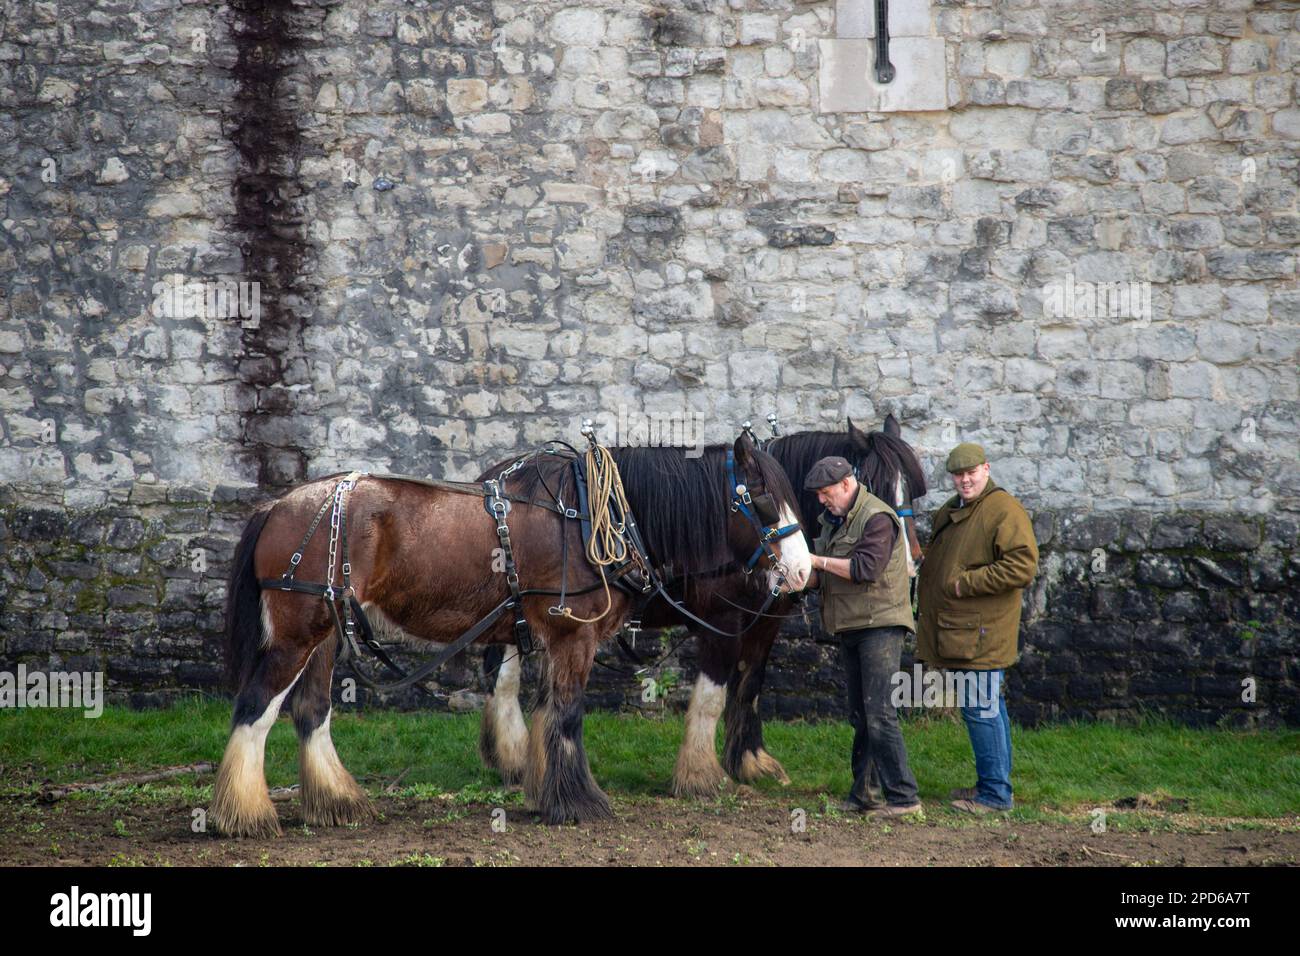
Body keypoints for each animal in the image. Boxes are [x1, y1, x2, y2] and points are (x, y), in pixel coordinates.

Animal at [211, 431, 811, 836]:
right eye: (760, 499)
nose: (803, 571)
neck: (588, 520)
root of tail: (277, 504)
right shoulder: (576, 635)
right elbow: (567, 717)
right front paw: (580, 802)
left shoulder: (549, 635)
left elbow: (544, 713)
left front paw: (546, 794)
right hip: (297, 635)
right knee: (256, 706)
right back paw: (244, 813)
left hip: (327, 635)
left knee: (311, 710)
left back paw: (336, 802)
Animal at [478, 415, 925, 797]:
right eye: (873, 484)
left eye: (913, 490)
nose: (908, 564)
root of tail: (491, 478)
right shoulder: (721, 622)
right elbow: (713, 695)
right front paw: (700, 775)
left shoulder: (765, 622)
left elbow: (749, 686)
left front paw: (750, 760)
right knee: (504, 678)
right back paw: (514, 758)